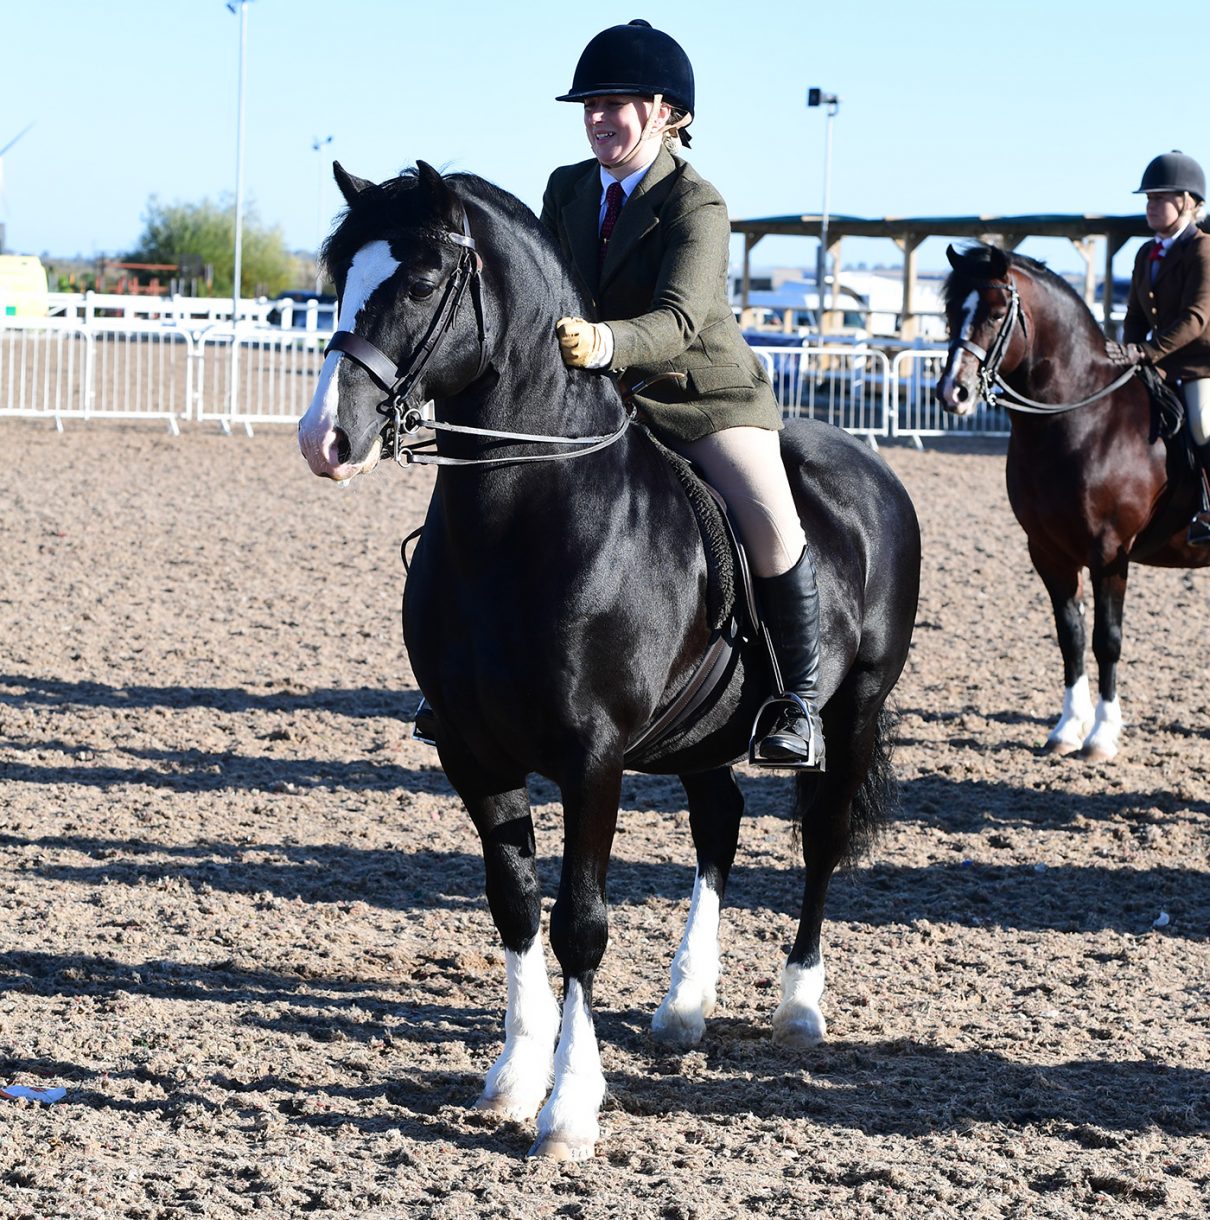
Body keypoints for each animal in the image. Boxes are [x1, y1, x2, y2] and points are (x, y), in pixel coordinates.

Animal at [297, 161, 920, 1160]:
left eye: (423, 281)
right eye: (338, 279)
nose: (327, 439)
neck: (521, 522)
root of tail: (867, 466)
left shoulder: (593, 760)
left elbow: (580, 925)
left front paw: (568, 1111)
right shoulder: (472, 752)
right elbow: (513, 905)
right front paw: (515, 1078)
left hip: (851, 709)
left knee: (820, 838)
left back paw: (798, 1007)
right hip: (703, 731)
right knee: (719, 824)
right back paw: (685, 1005)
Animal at [937, 242, 1210, 761]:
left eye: (997, 313)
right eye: (949, 311)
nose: (952, 393)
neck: (1083, 417)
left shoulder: (1109, 553)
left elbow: (1107, 639)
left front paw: (1102, 735)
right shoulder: (1048, 552)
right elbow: (1071, 637)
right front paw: (1066, 729)